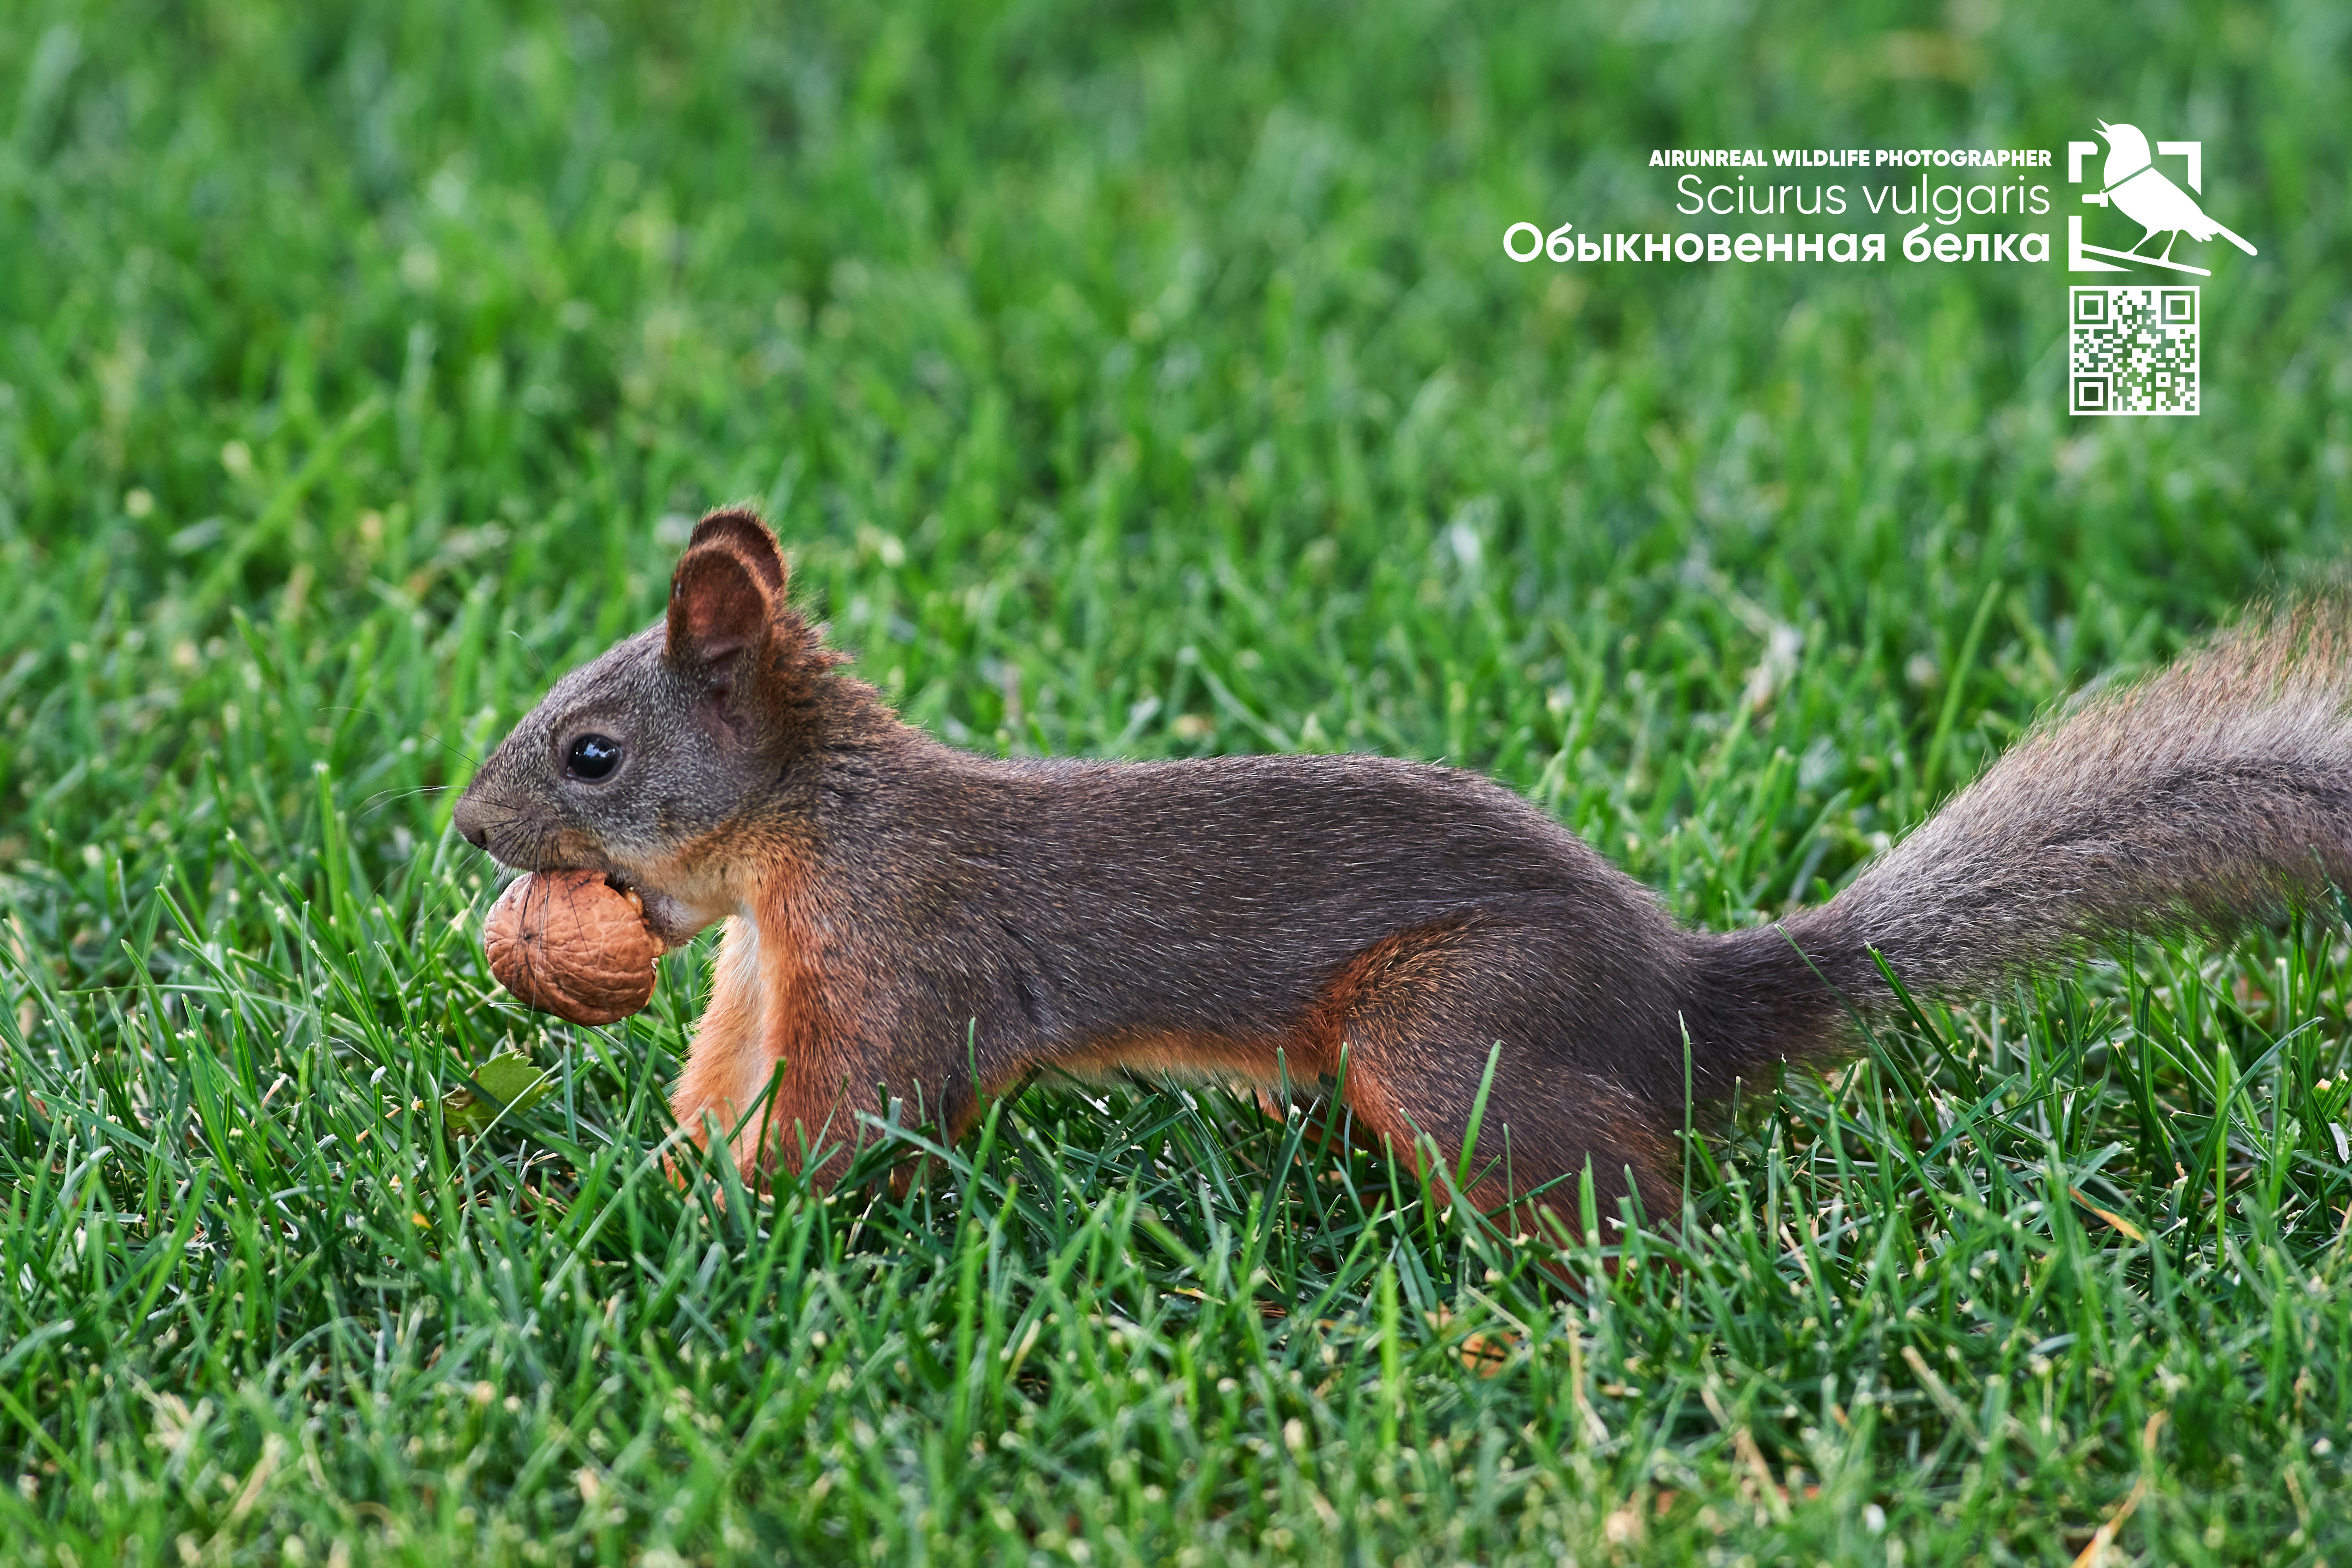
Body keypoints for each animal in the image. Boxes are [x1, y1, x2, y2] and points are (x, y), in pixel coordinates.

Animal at [449, 510, 2352, 1231]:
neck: (808, 837)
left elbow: (865, 1106)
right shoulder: (764, 966)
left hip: (1452, 1030)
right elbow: (723, 1078)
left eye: (590, 754)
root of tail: (1679, 996)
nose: (465, 830)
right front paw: (651, 1177)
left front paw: (700, 1217)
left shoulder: (904, 955)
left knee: (1629, 1201)